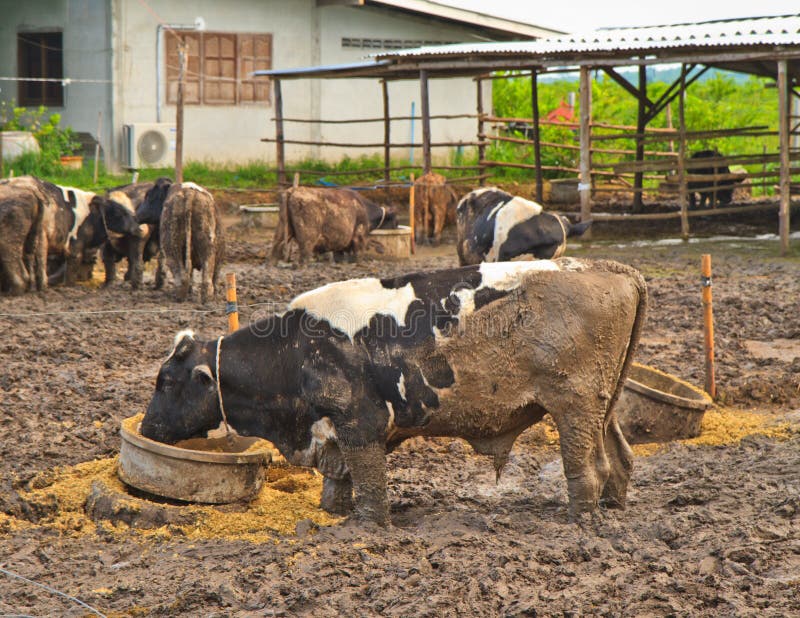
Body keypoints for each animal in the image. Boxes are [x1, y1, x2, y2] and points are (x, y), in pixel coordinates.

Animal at [141, 258, 647, 526]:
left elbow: (368, 482)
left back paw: (581, 518)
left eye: (166, 381)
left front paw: (366, 524)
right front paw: (334, 511)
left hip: (574, 408)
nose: (146, 427)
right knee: (620, 458)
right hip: (603, 407)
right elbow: (339, 478)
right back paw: (613, 506)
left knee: (588, 467)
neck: (297, 348)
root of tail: (607, 267)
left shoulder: (360, 424)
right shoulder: (334, 431)